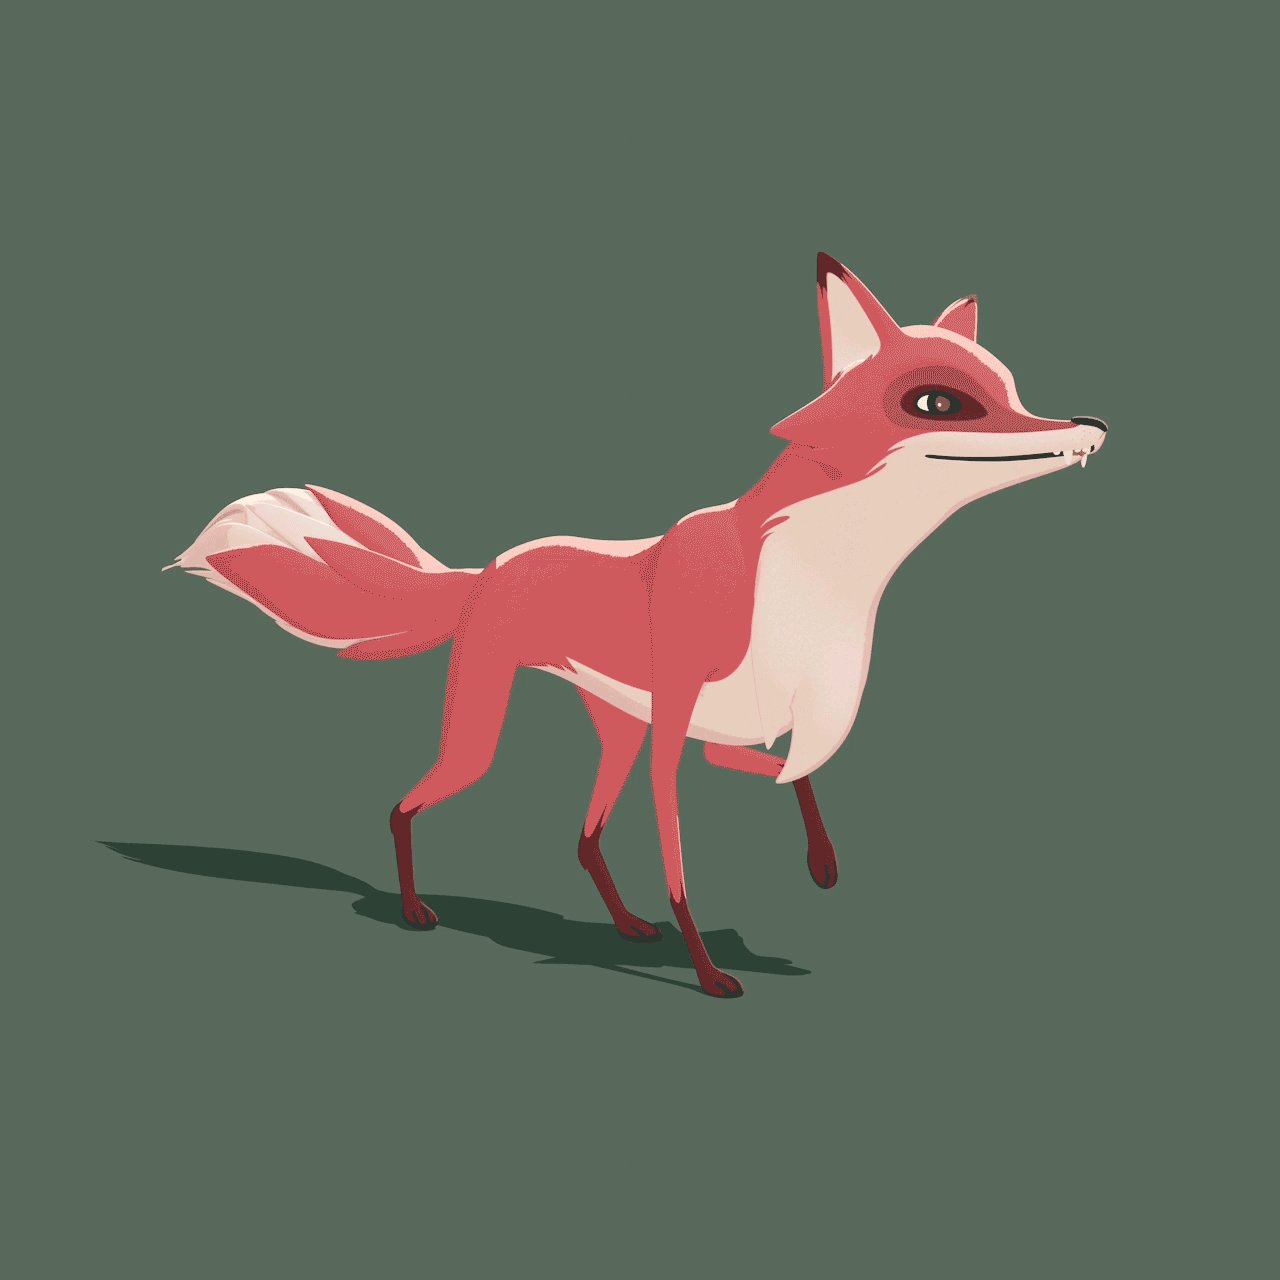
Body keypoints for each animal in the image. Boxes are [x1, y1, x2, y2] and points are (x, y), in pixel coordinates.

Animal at [169, 253, 1108, 998]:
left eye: (1013, 388)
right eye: (940, 402)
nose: (1090, 426)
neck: (816, 582)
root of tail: (490, 567)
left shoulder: (728, 732)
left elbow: (793, 776)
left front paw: (821, 864)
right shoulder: (676, 737)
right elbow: (681, 868)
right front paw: (709, 974)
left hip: (615, 731)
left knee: (584, 840)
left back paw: (622, 927)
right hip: (487, 738)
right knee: (405, 808)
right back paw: (412, 908)